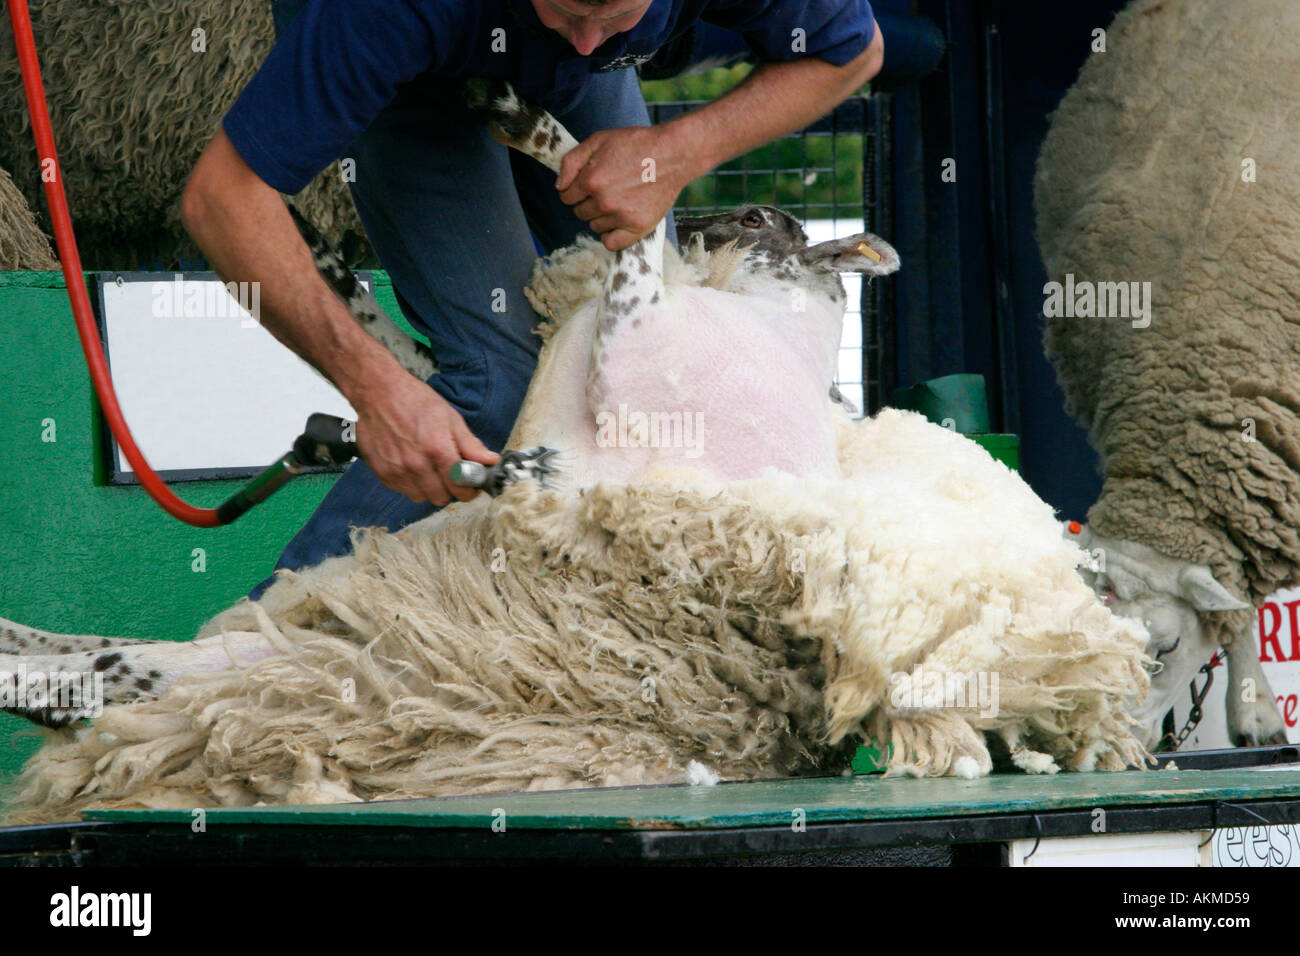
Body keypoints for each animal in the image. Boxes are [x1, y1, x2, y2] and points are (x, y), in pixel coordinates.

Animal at [0, 82, 1152, 823]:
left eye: (763, 217)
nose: (743, 210)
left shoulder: (644, 363)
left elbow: (631, 236)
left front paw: (531, 124)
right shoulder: (529, 406)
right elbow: (414, 365)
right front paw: (330, 264)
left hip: (299, 668)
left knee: (98, 680)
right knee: (92, 670)